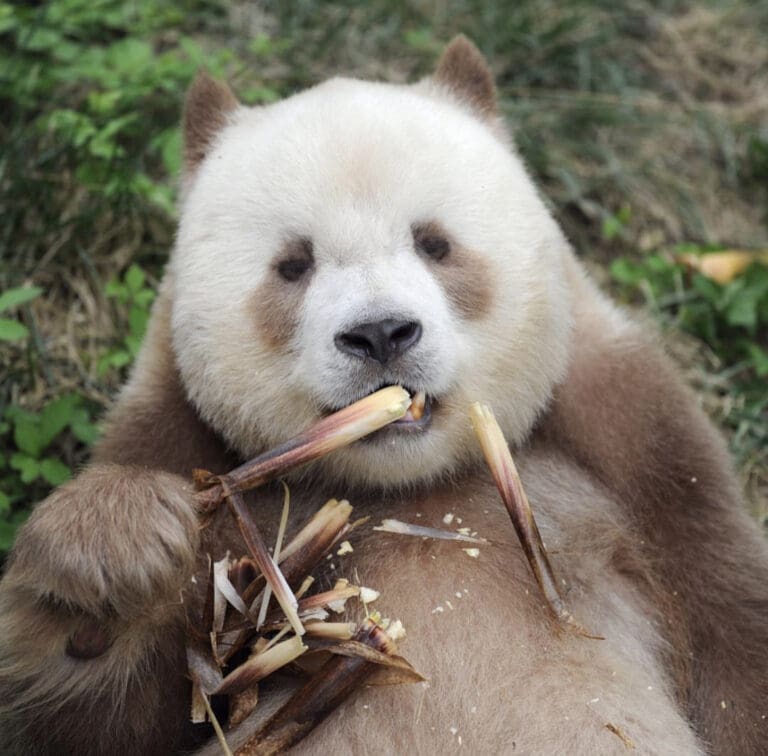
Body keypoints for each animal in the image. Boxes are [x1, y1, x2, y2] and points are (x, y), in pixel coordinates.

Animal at [1, 36, 766, 756]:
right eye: (293, 264)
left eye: (435, 243)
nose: (380, 335)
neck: (410, 487)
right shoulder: (180, 437)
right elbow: (119, 720)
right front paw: (112, 555)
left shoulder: (637, 448)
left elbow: (732, 629)